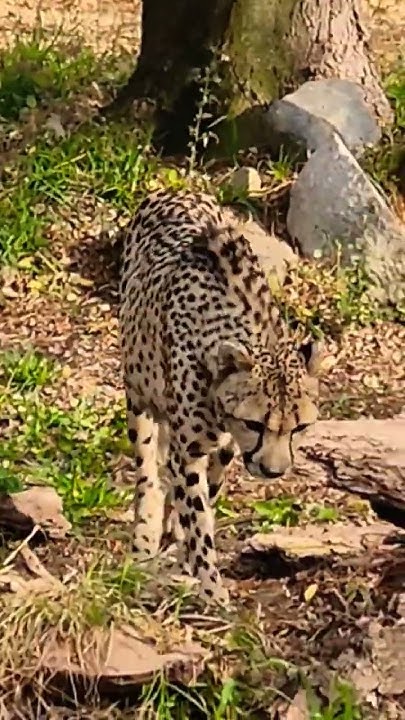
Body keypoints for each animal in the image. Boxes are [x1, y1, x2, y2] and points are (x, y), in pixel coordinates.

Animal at [119, 187, 331, 605]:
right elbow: (197, 517)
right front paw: (212, 590)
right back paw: (146, 537)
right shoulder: (189, 449)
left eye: (299, 428)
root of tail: (176, 188)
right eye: (255, 423)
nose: (274, 471)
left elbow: (204, 501)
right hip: (139, 392)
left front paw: (186, 551)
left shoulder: (224, 448)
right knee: (148, 473)